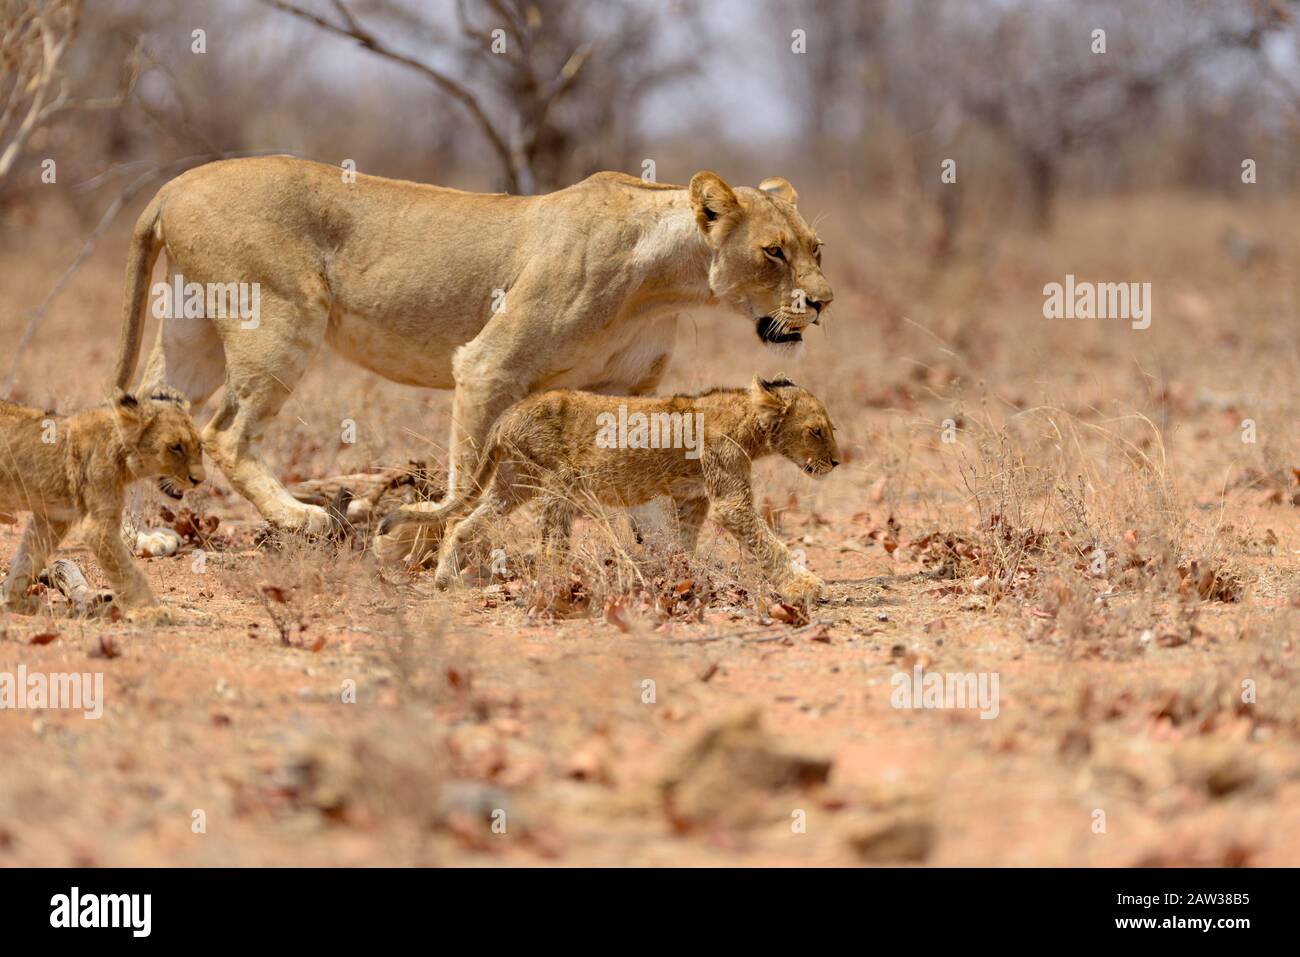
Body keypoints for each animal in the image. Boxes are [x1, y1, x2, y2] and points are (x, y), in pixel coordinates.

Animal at [0, 388, 205, 619]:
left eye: (200, 446)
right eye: (175, 447)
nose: (200, 479)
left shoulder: (53, 518)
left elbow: (28, 557)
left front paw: (13, 601)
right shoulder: (98, 527)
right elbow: (127, 572)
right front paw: (150, 611)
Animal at [110, 157, 833, 549]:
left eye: (815, 247)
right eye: (773, 251)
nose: (823, 301)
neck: (664, 283)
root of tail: (172, 186)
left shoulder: (632, 391)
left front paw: (668, 555)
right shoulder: (488, 365)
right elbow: (466, 484)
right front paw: (421, 532)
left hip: (194, 333)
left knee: (149, 417)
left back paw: (136, 539)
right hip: (282, 318)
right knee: (225, 435)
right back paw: (302, 516)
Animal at [376, 376, 841, 603]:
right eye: (817, 431)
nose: (837, 462)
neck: (750, 424)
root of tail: (507, 414)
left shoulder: (693, 499)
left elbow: (682, 543)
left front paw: (677, 578)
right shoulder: (729, 501)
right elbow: (767, 542)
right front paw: (805, 587)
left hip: (513, 485)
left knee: (462, 522)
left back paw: (443, 579)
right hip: (558, 481)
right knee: (550, 545)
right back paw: (559, 584)